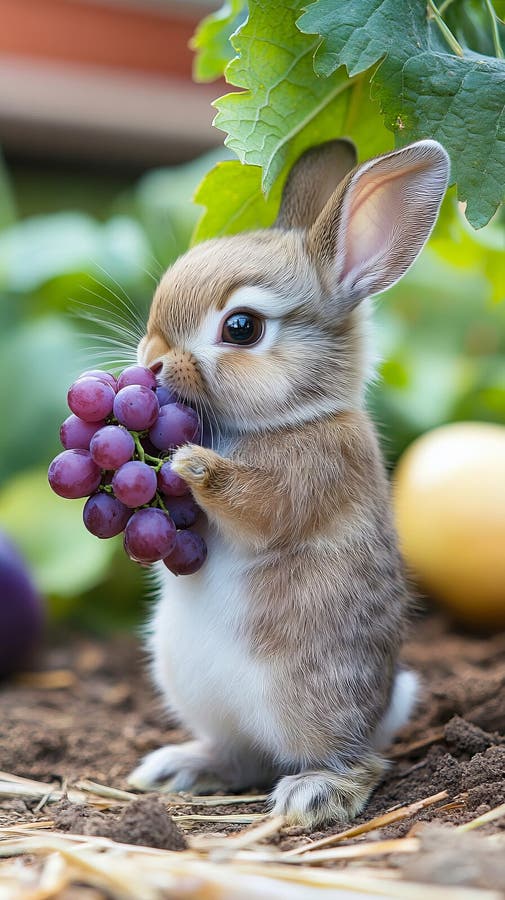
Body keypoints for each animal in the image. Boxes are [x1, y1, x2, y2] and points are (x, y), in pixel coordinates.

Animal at [128, 138, 450, 826]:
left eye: (241, 327)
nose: (151, 363)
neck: (293, 414)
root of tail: (384, 710)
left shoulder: (312, 474)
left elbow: (260, 506)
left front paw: (188, 466)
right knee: (243, 755)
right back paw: (177, 768)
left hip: (310, 696)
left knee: (357, 762)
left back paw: (316, 793)